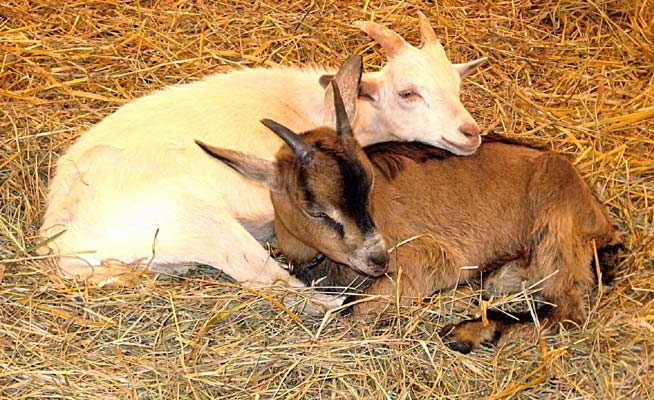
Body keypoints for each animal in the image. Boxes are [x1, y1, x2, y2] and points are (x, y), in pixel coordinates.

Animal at [38, 13, 486, 288]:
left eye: (457, 87)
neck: (309, 104)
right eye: (408, 93)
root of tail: (58, 238)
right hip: (205, 224)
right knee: (272, 280)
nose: (470, 133)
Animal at [198, 82, 623, 353]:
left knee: (567, 310)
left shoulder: (426, 260)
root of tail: (599, 218)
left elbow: (355, 311)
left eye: (370, 185)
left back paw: (467, 333)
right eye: (315, 209)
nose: (378, 259)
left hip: (557, 227)